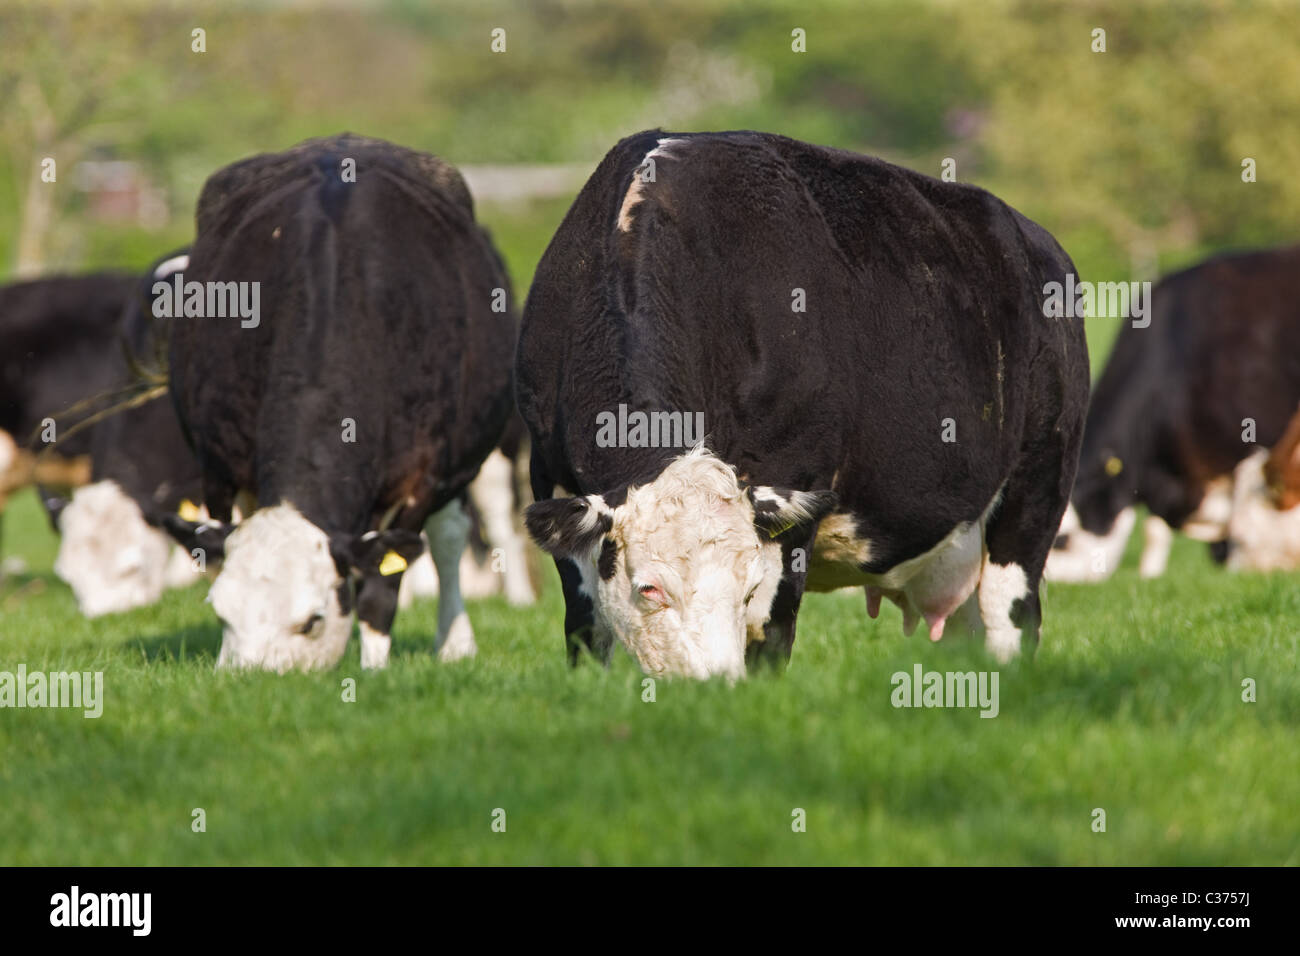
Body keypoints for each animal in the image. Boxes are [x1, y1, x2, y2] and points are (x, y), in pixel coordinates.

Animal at [160, 133, 515, 672]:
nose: (246, 681)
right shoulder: (217, 467)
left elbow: (381, 590)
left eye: (311, 622)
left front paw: (373, 670)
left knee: (449, 541)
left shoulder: (419, 480)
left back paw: (455, 644)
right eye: (221, 613)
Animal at [517, 129, 1089, 678]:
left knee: (1011, 615)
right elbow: (586, 633)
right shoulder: (550, 475)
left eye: (747, 589)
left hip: (1037, 489)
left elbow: (771, 636)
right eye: (651, 588)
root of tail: (1037, 240)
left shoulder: (794, 489)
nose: (712, 688)